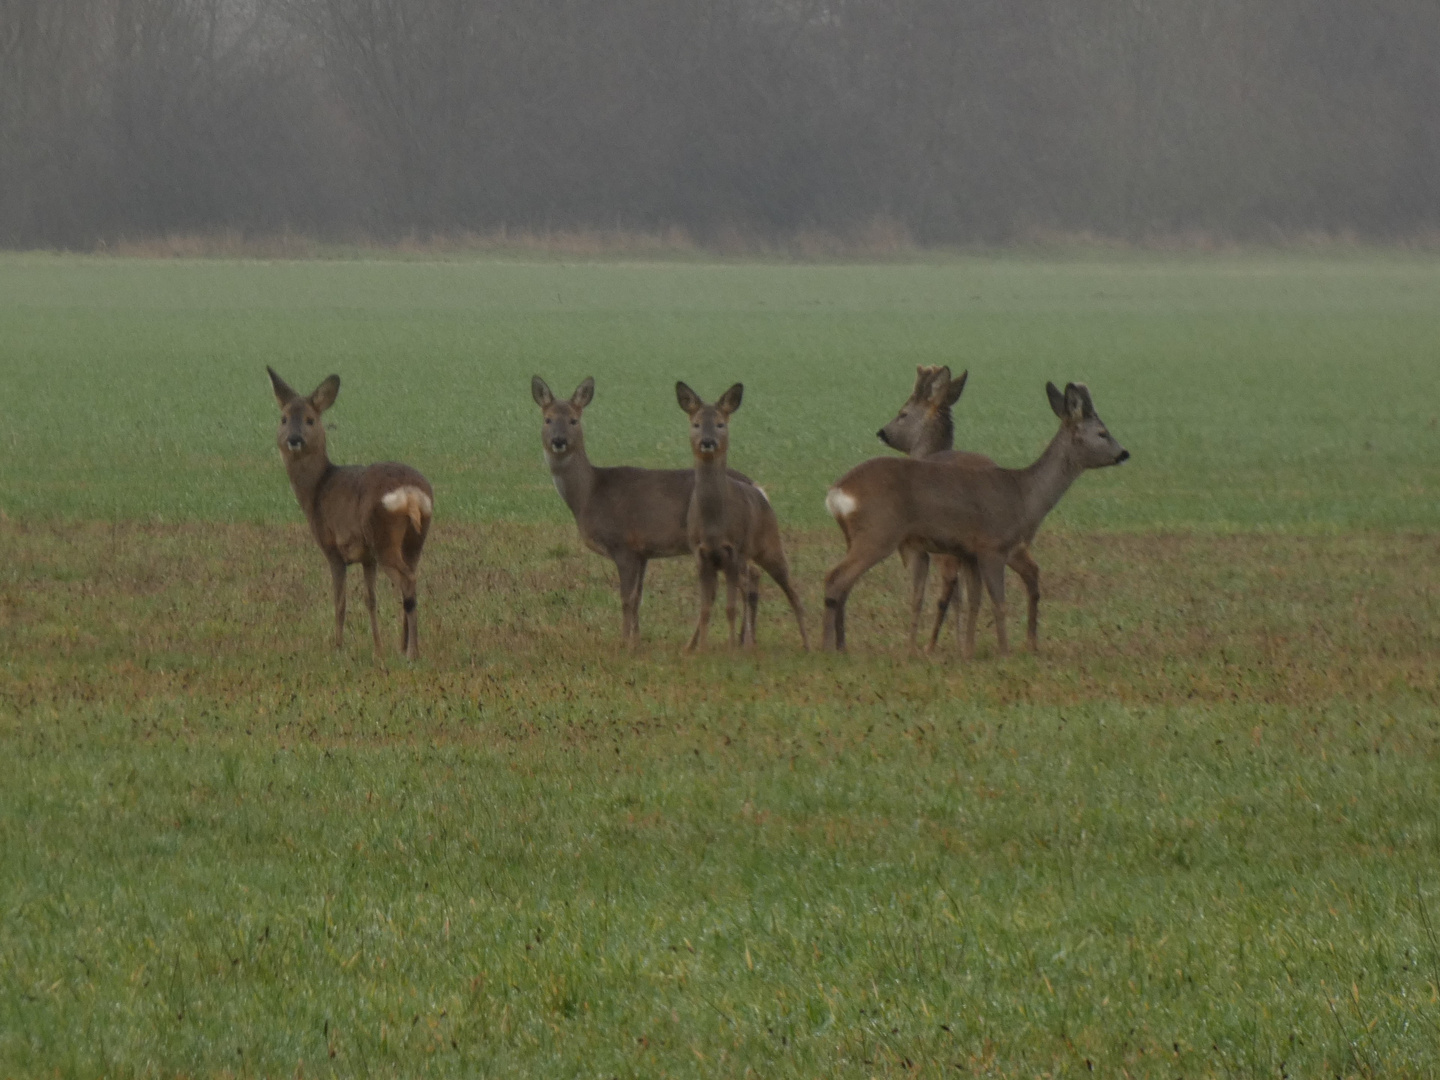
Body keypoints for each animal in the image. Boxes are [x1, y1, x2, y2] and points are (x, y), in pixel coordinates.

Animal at [267, 368, 429, 665]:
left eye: (310, 419)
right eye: (284, 418)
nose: (294, 439)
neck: (317, 490)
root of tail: (410, 494)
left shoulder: (332, 548)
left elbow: (339, 600)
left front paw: (338, 647)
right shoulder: (367, 557)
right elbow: (370, 599)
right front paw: (378, 649)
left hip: (383, 537)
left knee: (408, 581)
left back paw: (412, 652)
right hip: (415, 539)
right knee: (410, 582)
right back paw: (403, 647)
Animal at [535, 377, 760, 648]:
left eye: (573, 420)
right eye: (547, 419)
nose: (559, 440)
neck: (589, 495)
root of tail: (754, 485)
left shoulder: (623, 545)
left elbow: (626, 598)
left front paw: (624, 643)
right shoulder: (642, 551)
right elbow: (637, 598)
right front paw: (637, 641)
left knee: (748, 581)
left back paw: (743, 641)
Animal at [676, 380, 812, 650]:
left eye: (721, 424)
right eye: (696, 424)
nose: (708, 441)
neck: (714, 523)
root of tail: (760, 492)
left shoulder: (734, 551)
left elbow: (730, 608)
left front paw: (731, 650)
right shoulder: (701, 554)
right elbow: (706, 608)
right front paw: (701, 650)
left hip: (770, 545)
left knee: (791, 590)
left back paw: (807, 644)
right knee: (750, 582)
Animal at [823, 385, 1123, 665]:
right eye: (1102, 432)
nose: (1124, 453)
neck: (1023, 496)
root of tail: (837, 492)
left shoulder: (969, 552)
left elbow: (975, 602)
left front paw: (968, 652)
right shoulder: (993, 546)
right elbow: (999, 602)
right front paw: (1005, 653)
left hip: (857, 537)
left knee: (842, 584)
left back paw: (840, 647)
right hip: (878, 533)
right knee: (836, 578)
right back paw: (826, 647)